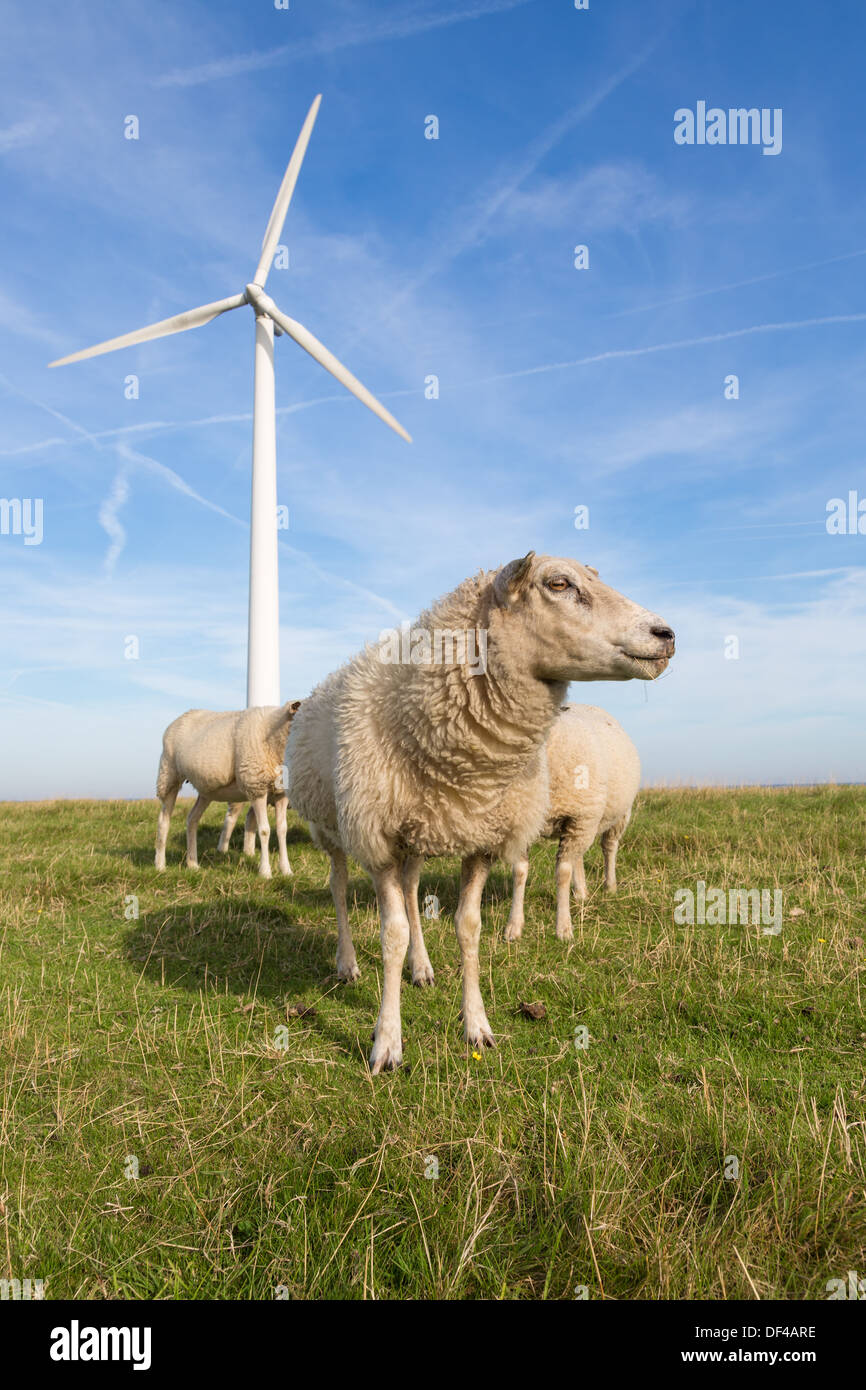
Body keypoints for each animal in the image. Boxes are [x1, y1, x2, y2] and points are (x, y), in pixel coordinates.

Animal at [155, 701, 301, 876]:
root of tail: (181, 716)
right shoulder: (256, 787)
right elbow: (264, 830)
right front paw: (265, 872)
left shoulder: (281, 793)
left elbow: (282, 830)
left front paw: (286, 870)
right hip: (169, 774)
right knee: (164, 821)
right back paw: (160, 865)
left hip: (206, 790)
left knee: (192, 819)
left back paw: (193, 864)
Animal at [505, 704, 641, 943]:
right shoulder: (523, 824)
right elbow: (519, 872)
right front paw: (514, 926)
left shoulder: (579, 817)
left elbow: (562, 874)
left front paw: (563, 928)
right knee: (578, 856)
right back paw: (581, 892)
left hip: (615, 815)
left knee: (609, 847)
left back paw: (610, 885)